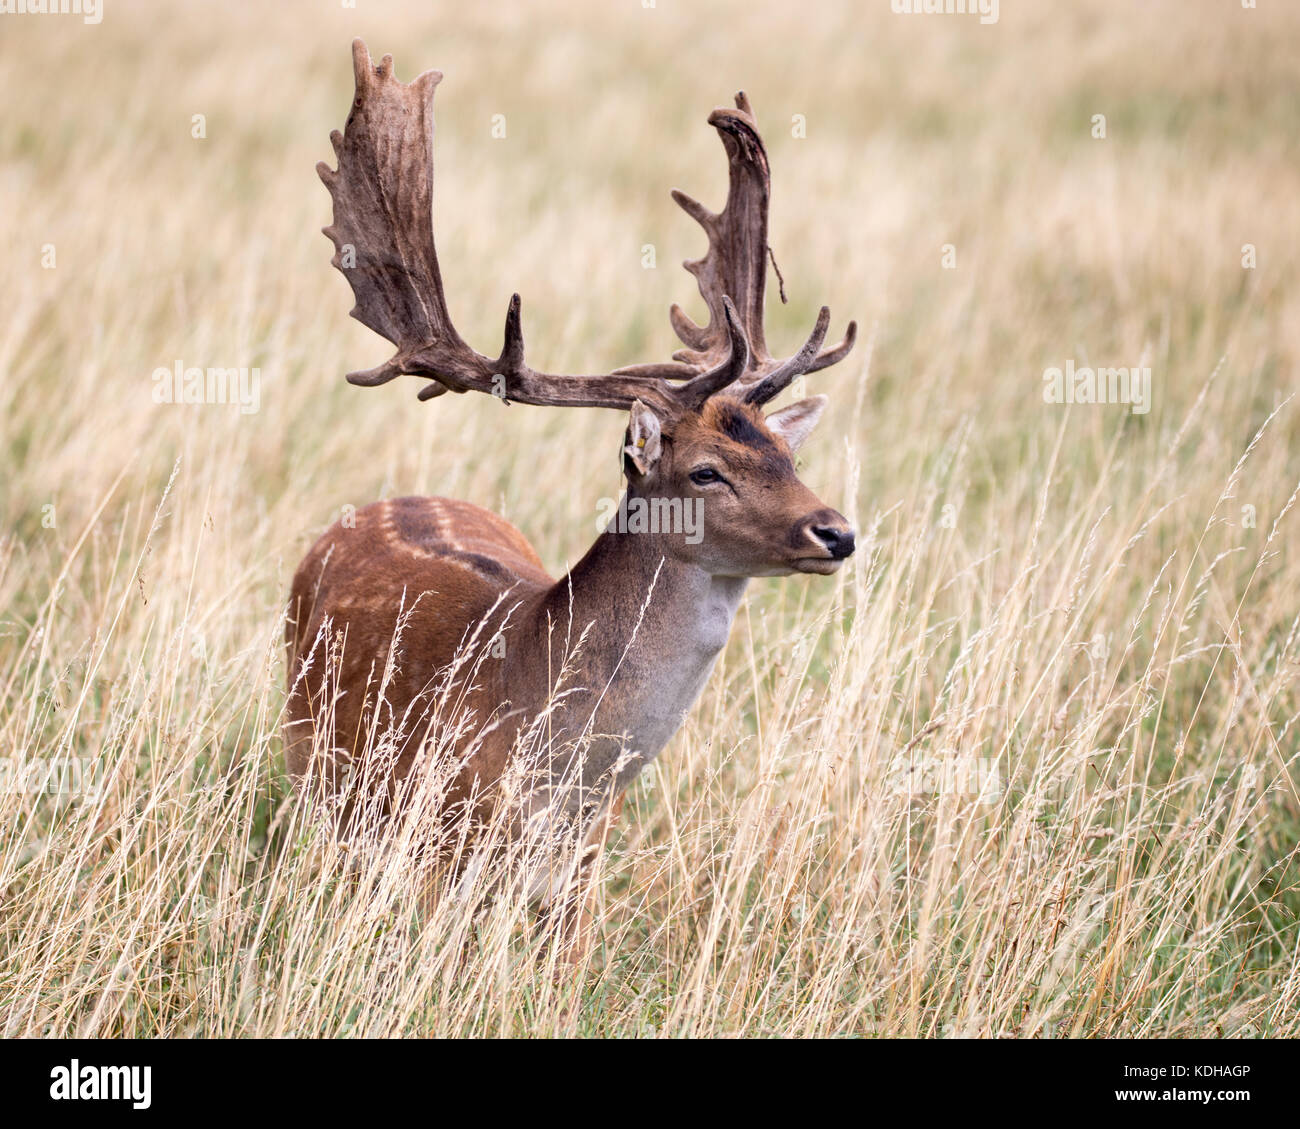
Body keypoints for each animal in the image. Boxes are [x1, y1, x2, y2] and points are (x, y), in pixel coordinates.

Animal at [284, 40, 858, 960]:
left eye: (783, 450)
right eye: (706, 470)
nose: (835, 531)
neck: (559, 777)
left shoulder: (582, 875)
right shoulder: (436, 850)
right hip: (309, 758)